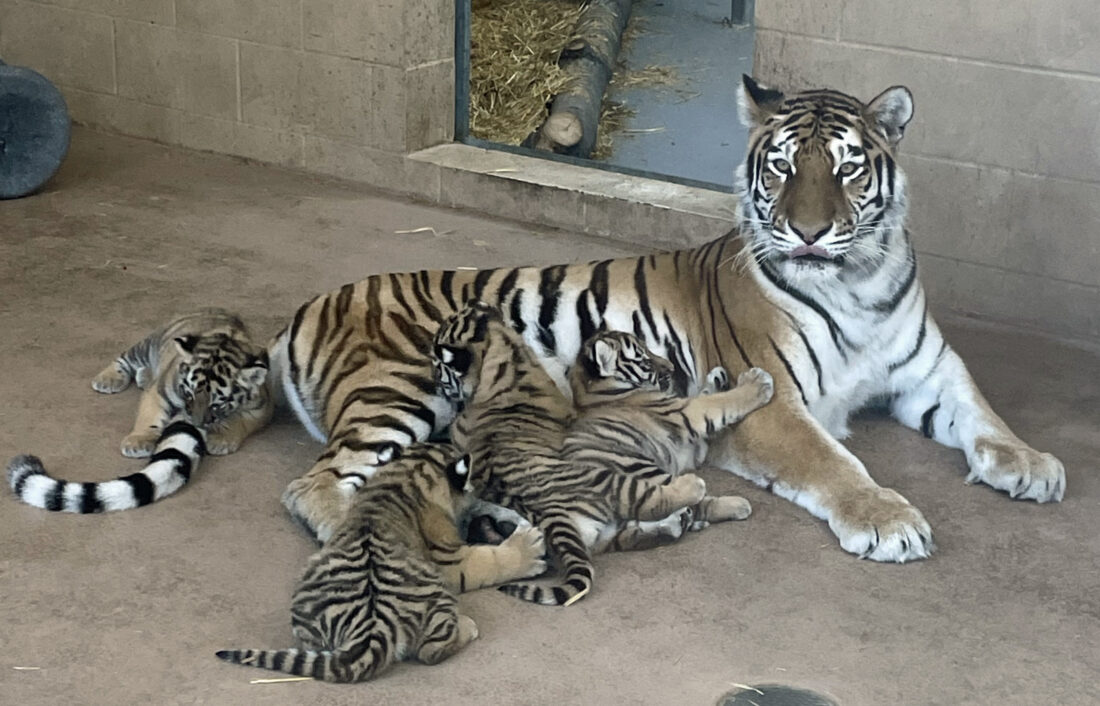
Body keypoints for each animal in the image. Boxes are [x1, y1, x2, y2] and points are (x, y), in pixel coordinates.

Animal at [6, 309, 272, 513]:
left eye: (217, 403)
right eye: (189, 393)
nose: (194, 421)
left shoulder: (262, 406)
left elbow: (240, 422)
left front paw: (221, 439)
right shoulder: (160, 391)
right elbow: (149, 415)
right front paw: (139, 441)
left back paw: (144, 376)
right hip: (146, 345)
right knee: (123, 359)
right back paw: (109, 379)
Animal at [216, 442, 547, 682]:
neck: (407, 472)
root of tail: (372, 630)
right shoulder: (449, 558)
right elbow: (490, 560)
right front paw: (530, 548)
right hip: (437, 597)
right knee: (432, 650)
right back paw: (467, 626)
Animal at [566, 330, 775, 532]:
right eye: (644, 361)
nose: (672, 367)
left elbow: (705, 396)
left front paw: (717, 377)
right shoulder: (682, 411)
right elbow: (719, 402)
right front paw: (757, 383)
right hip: (639, 469)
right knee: (681, 502)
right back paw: (736, 505)